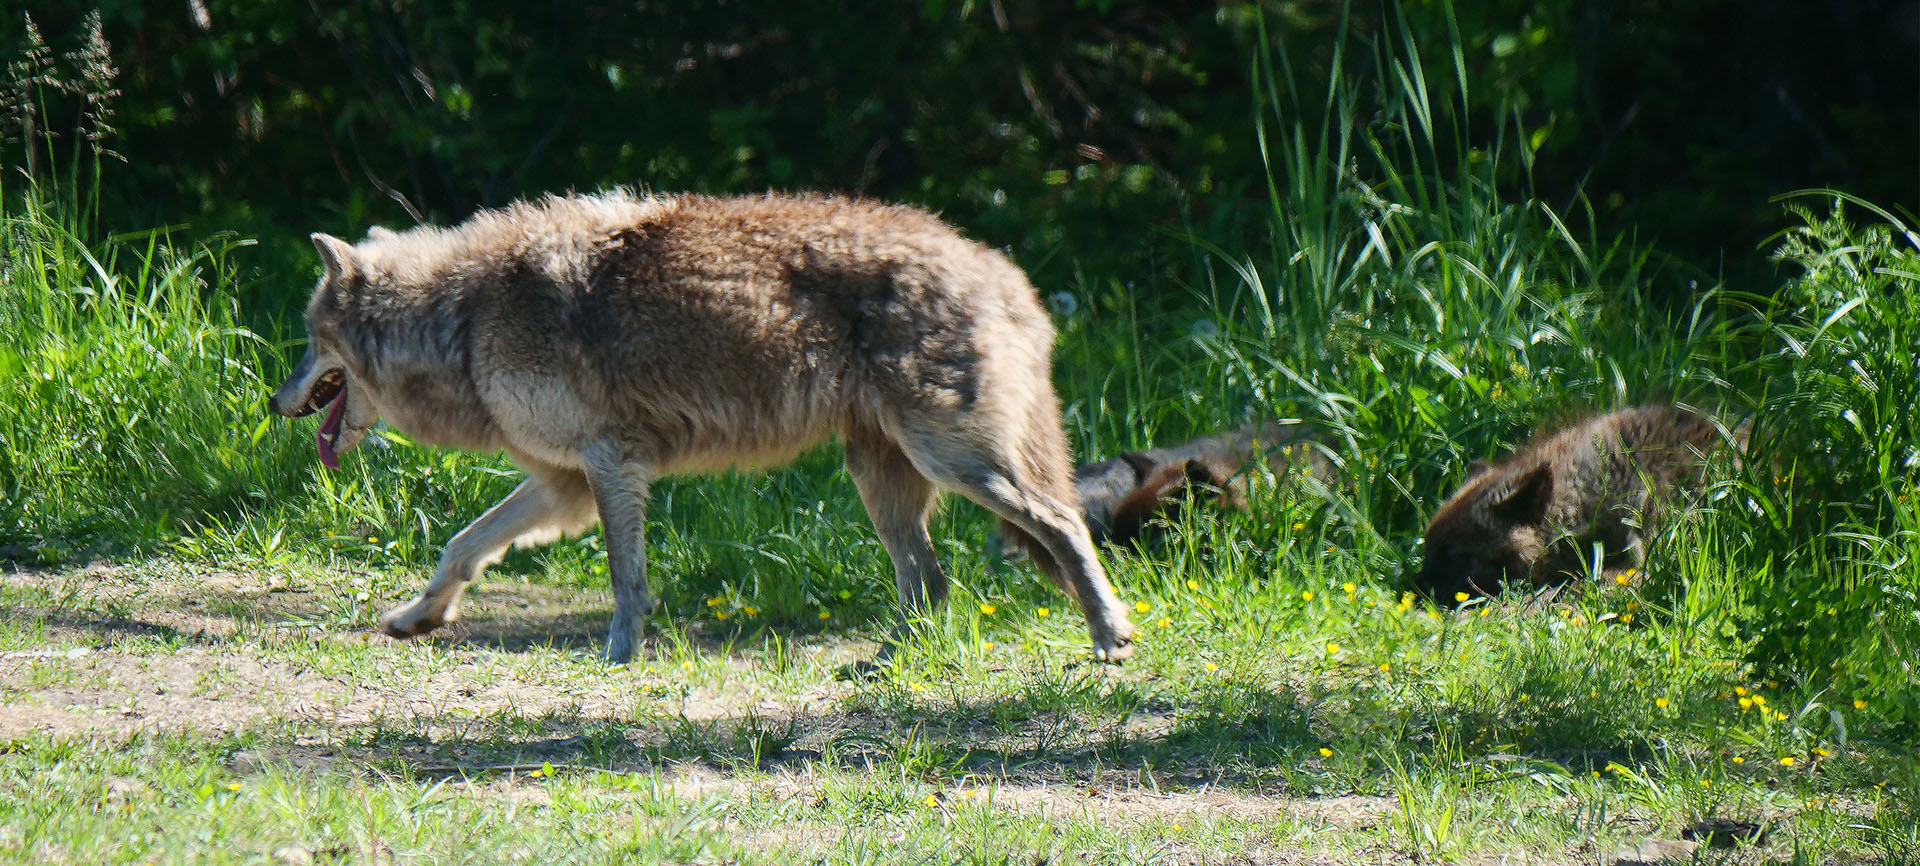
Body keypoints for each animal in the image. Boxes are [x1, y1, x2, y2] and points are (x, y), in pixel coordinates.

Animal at [268, 191, 1136, 664]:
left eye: (309, 341)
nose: (275, 402)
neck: (465, 319)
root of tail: (1003, 271)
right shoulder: (563, 484)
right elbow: (461, 545)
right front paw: (418, 618)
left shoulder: (610, 465)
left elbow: (626, 580)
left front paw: (619, 657)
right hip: (884, 479)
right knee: (932, 580)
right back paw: (884, 664)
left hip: (955, 464)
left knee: (1060, 524)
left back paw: (1107, 636)